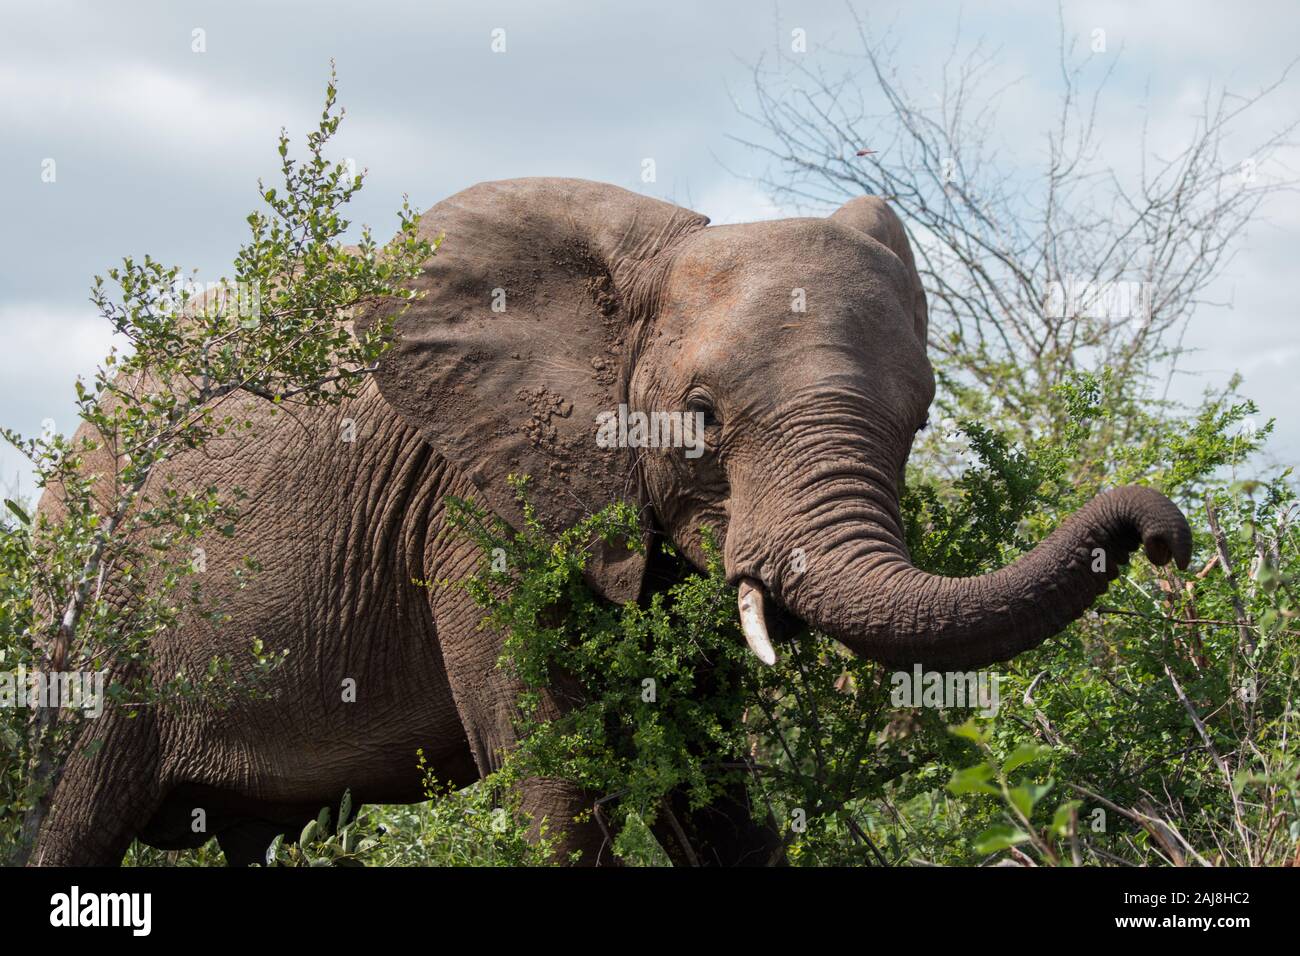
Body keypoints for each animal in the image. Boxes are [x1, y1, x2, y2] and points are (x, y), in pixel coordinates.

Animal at [30, 177, 1191, 866]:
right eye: (702, 418)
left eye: (922, 419)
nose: (1164, 538)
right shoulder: (473, 496)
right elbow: (561, 775)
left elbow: (707, 777)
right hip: (89, 608)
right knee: (73, 811)